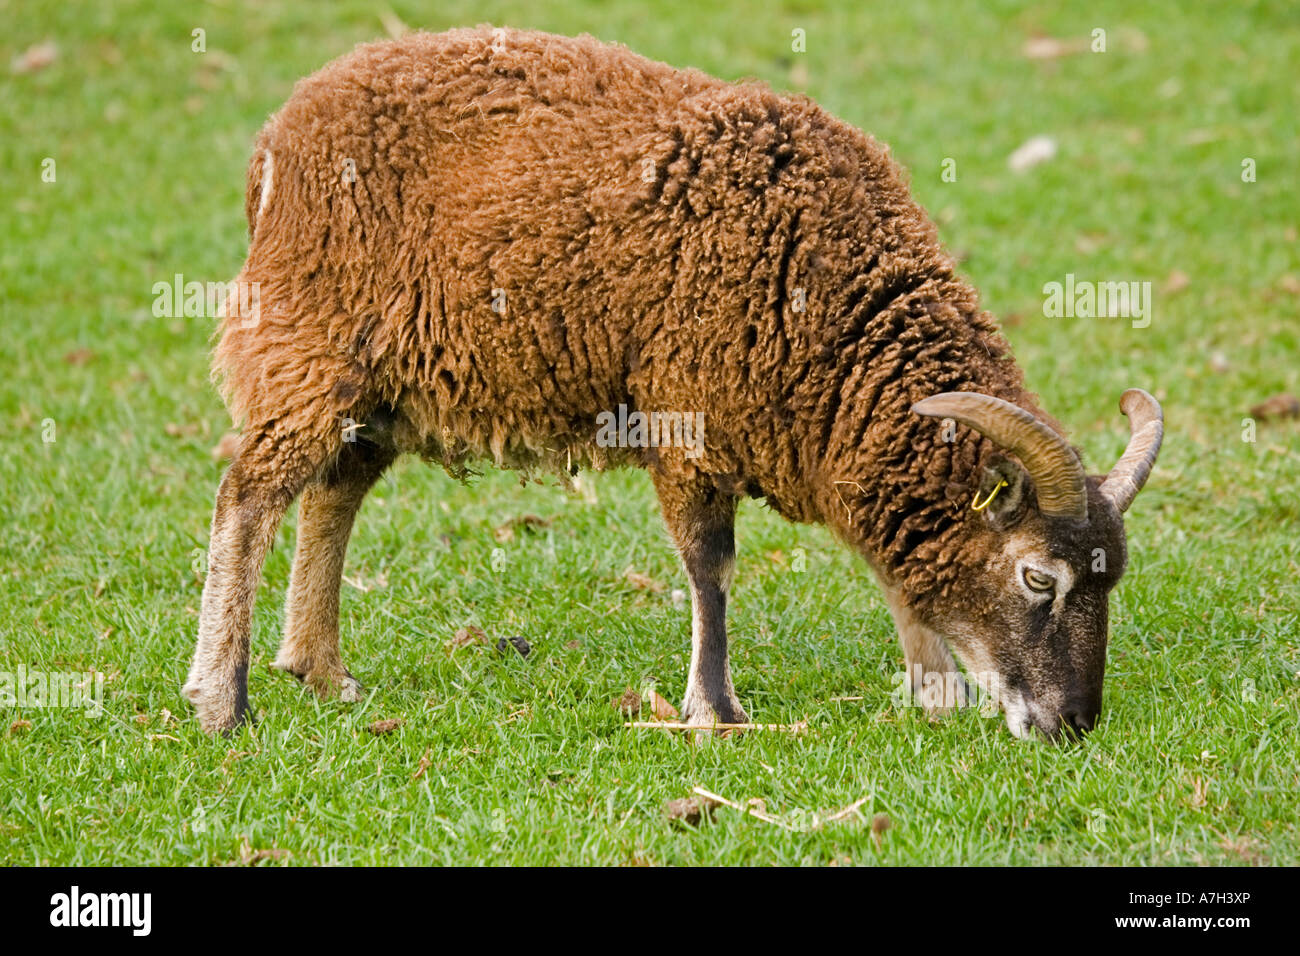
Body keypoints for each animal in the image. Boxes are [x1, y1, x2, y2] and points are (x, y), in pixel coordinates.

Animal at [183, 26, 1164, 740]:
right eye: (1038, 579)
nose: (1075, 723)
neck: (834, 296)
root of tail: (278, 137)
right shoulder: (689, 421)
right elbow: (710, 566)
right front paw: (716, 710)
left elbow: (888, 556)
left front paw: (934, 686)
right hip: (307, 342)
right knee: (248, 494)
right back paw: (222, 702)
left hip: (378, 379)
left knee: (331, 493)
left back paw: (319, 671)